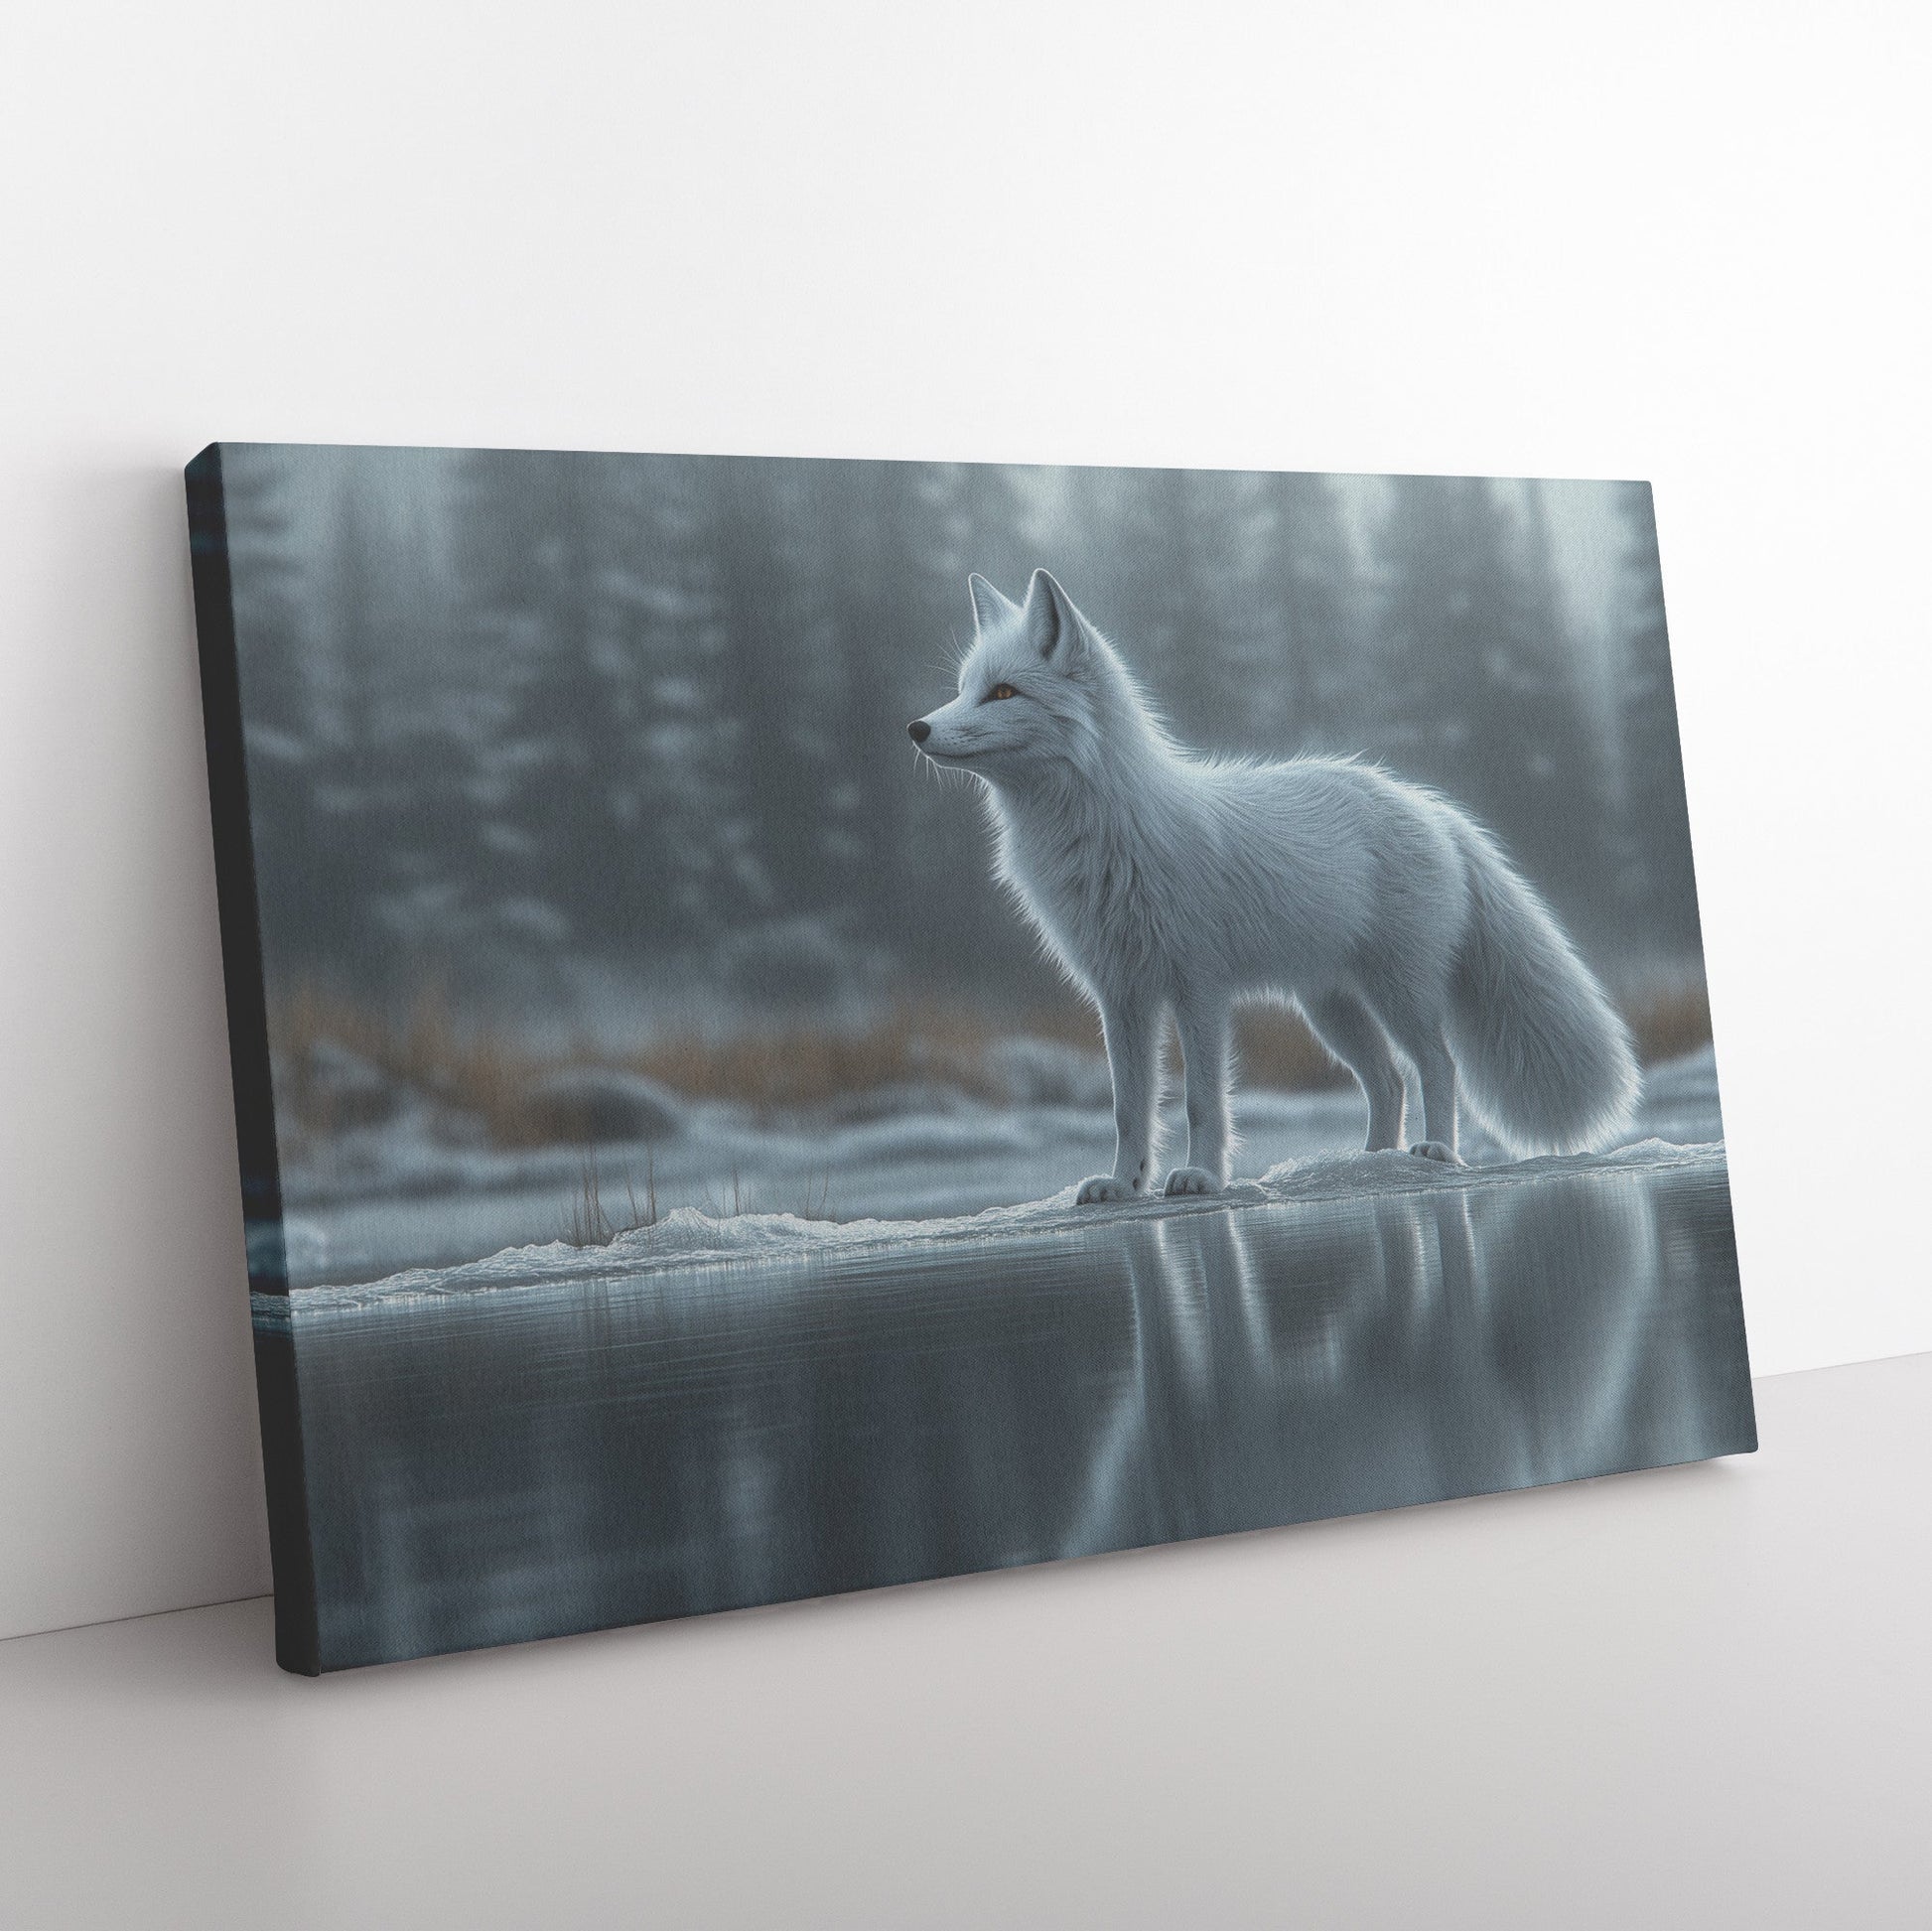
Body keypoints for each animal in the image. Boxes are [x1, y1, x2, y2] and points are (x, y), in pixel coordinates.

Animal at [909, 568, 1639, 1204]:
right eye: (963, 687)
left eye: (1005, 692)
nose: (916, 727)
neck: (1107, 835)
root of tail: (1430, 806)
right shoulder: (1120, 995)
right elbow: (1128, 1108)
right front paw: (1123, 1185)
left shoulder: (1197, 988)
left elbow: (1201, 1101)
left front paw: (1202, 1177)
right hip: (1329, 1007)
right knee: (1388, 1080)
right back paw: (1369, 1164)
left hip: (1398, 991)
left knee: (1436, 1065)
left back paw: (1434, 1154)